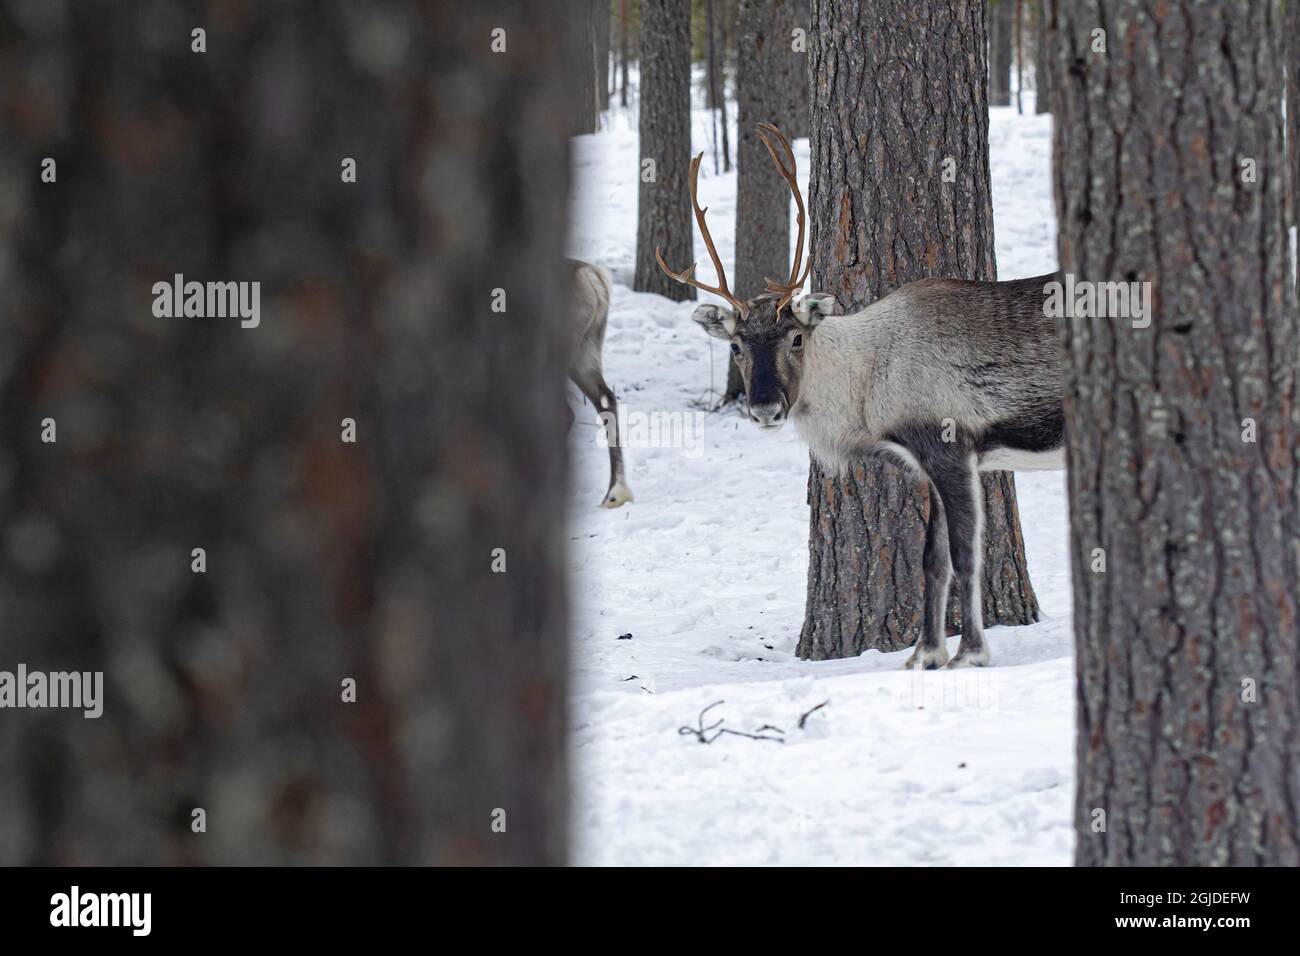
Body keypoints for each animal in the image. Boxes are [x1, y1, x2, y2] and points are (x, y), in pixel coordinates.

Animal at [657, 123, 1063, 669]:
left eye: (795, 337)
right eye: (737, 345)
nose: (765, 407)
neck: (867, 386)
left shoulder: (951, 446)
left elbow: (966, 554)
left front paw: (970, 653)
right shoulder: (925, 462)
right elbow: (931, 559)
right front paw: (924, 654)